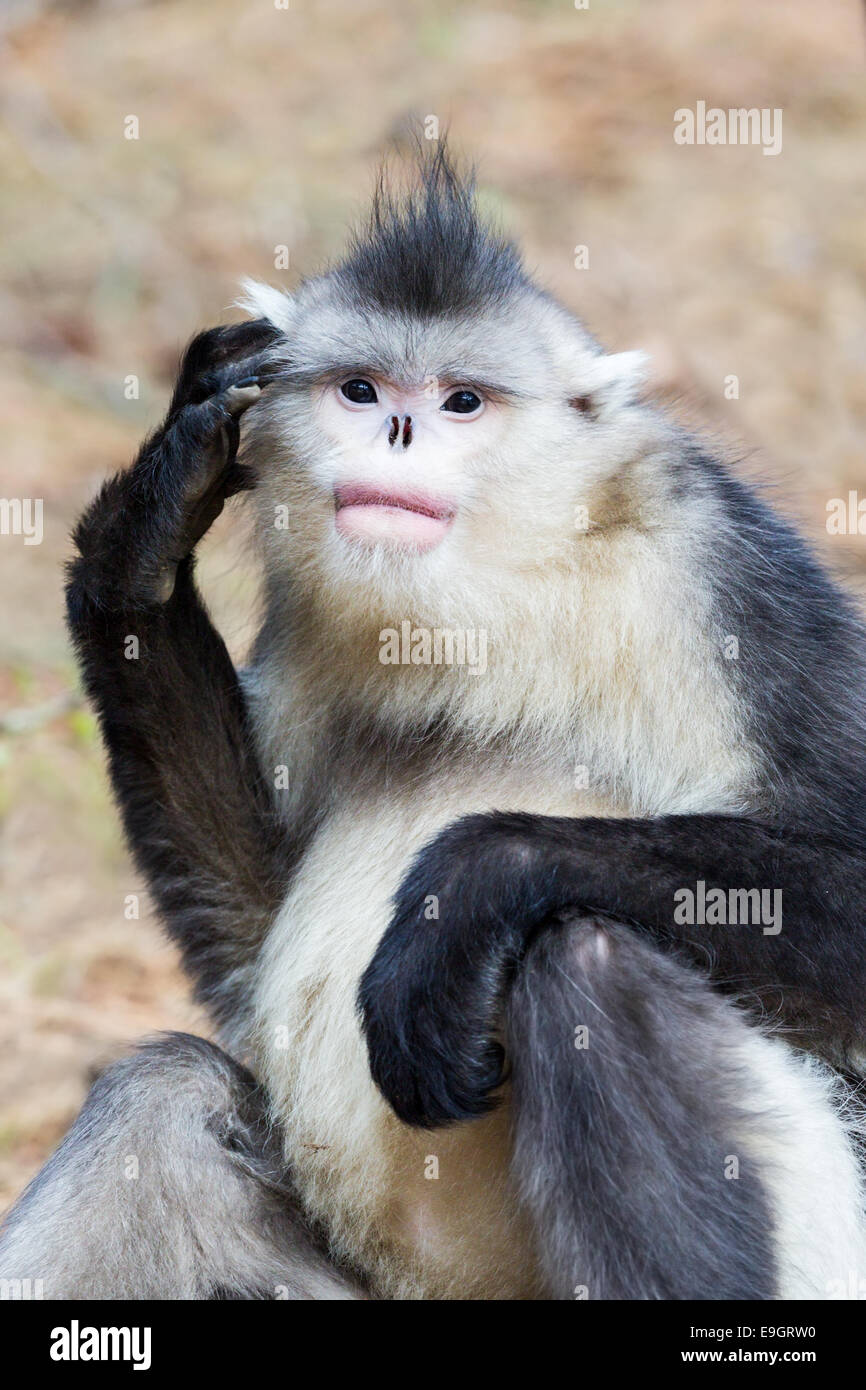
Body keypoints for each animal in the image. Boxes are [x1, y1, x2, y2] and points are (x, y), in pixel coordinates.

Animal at [3, 143, 866, 1300]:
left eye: (460, 402)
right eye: (361, 390)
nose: (400, 430)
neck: (502, 586)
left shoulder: (716, 566)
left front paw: (466, 886)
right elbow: (245, 935)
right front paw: (139, 537)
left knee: (582, 959)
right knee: (162, 1094)